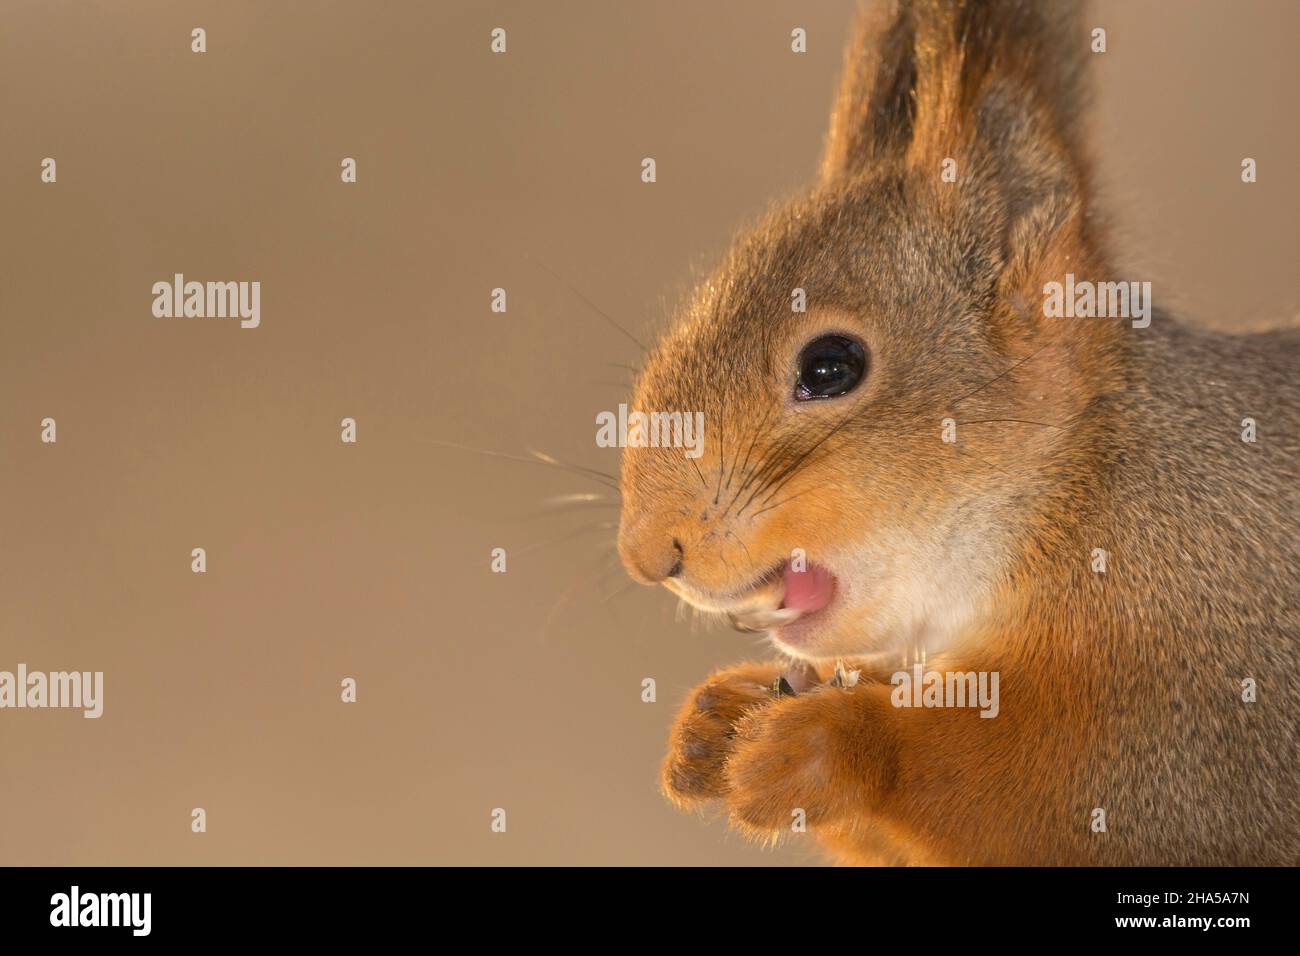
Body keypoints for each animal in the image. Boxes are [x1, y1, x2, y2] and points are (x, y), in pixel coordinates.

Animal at [615, 0, 1298, 865]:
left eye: (832, 365)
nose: (647, 554)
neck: (1083, 497)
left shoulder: (1204, 720)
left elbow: (1064, 797)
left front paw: (830, 745)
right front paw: (712, 722)